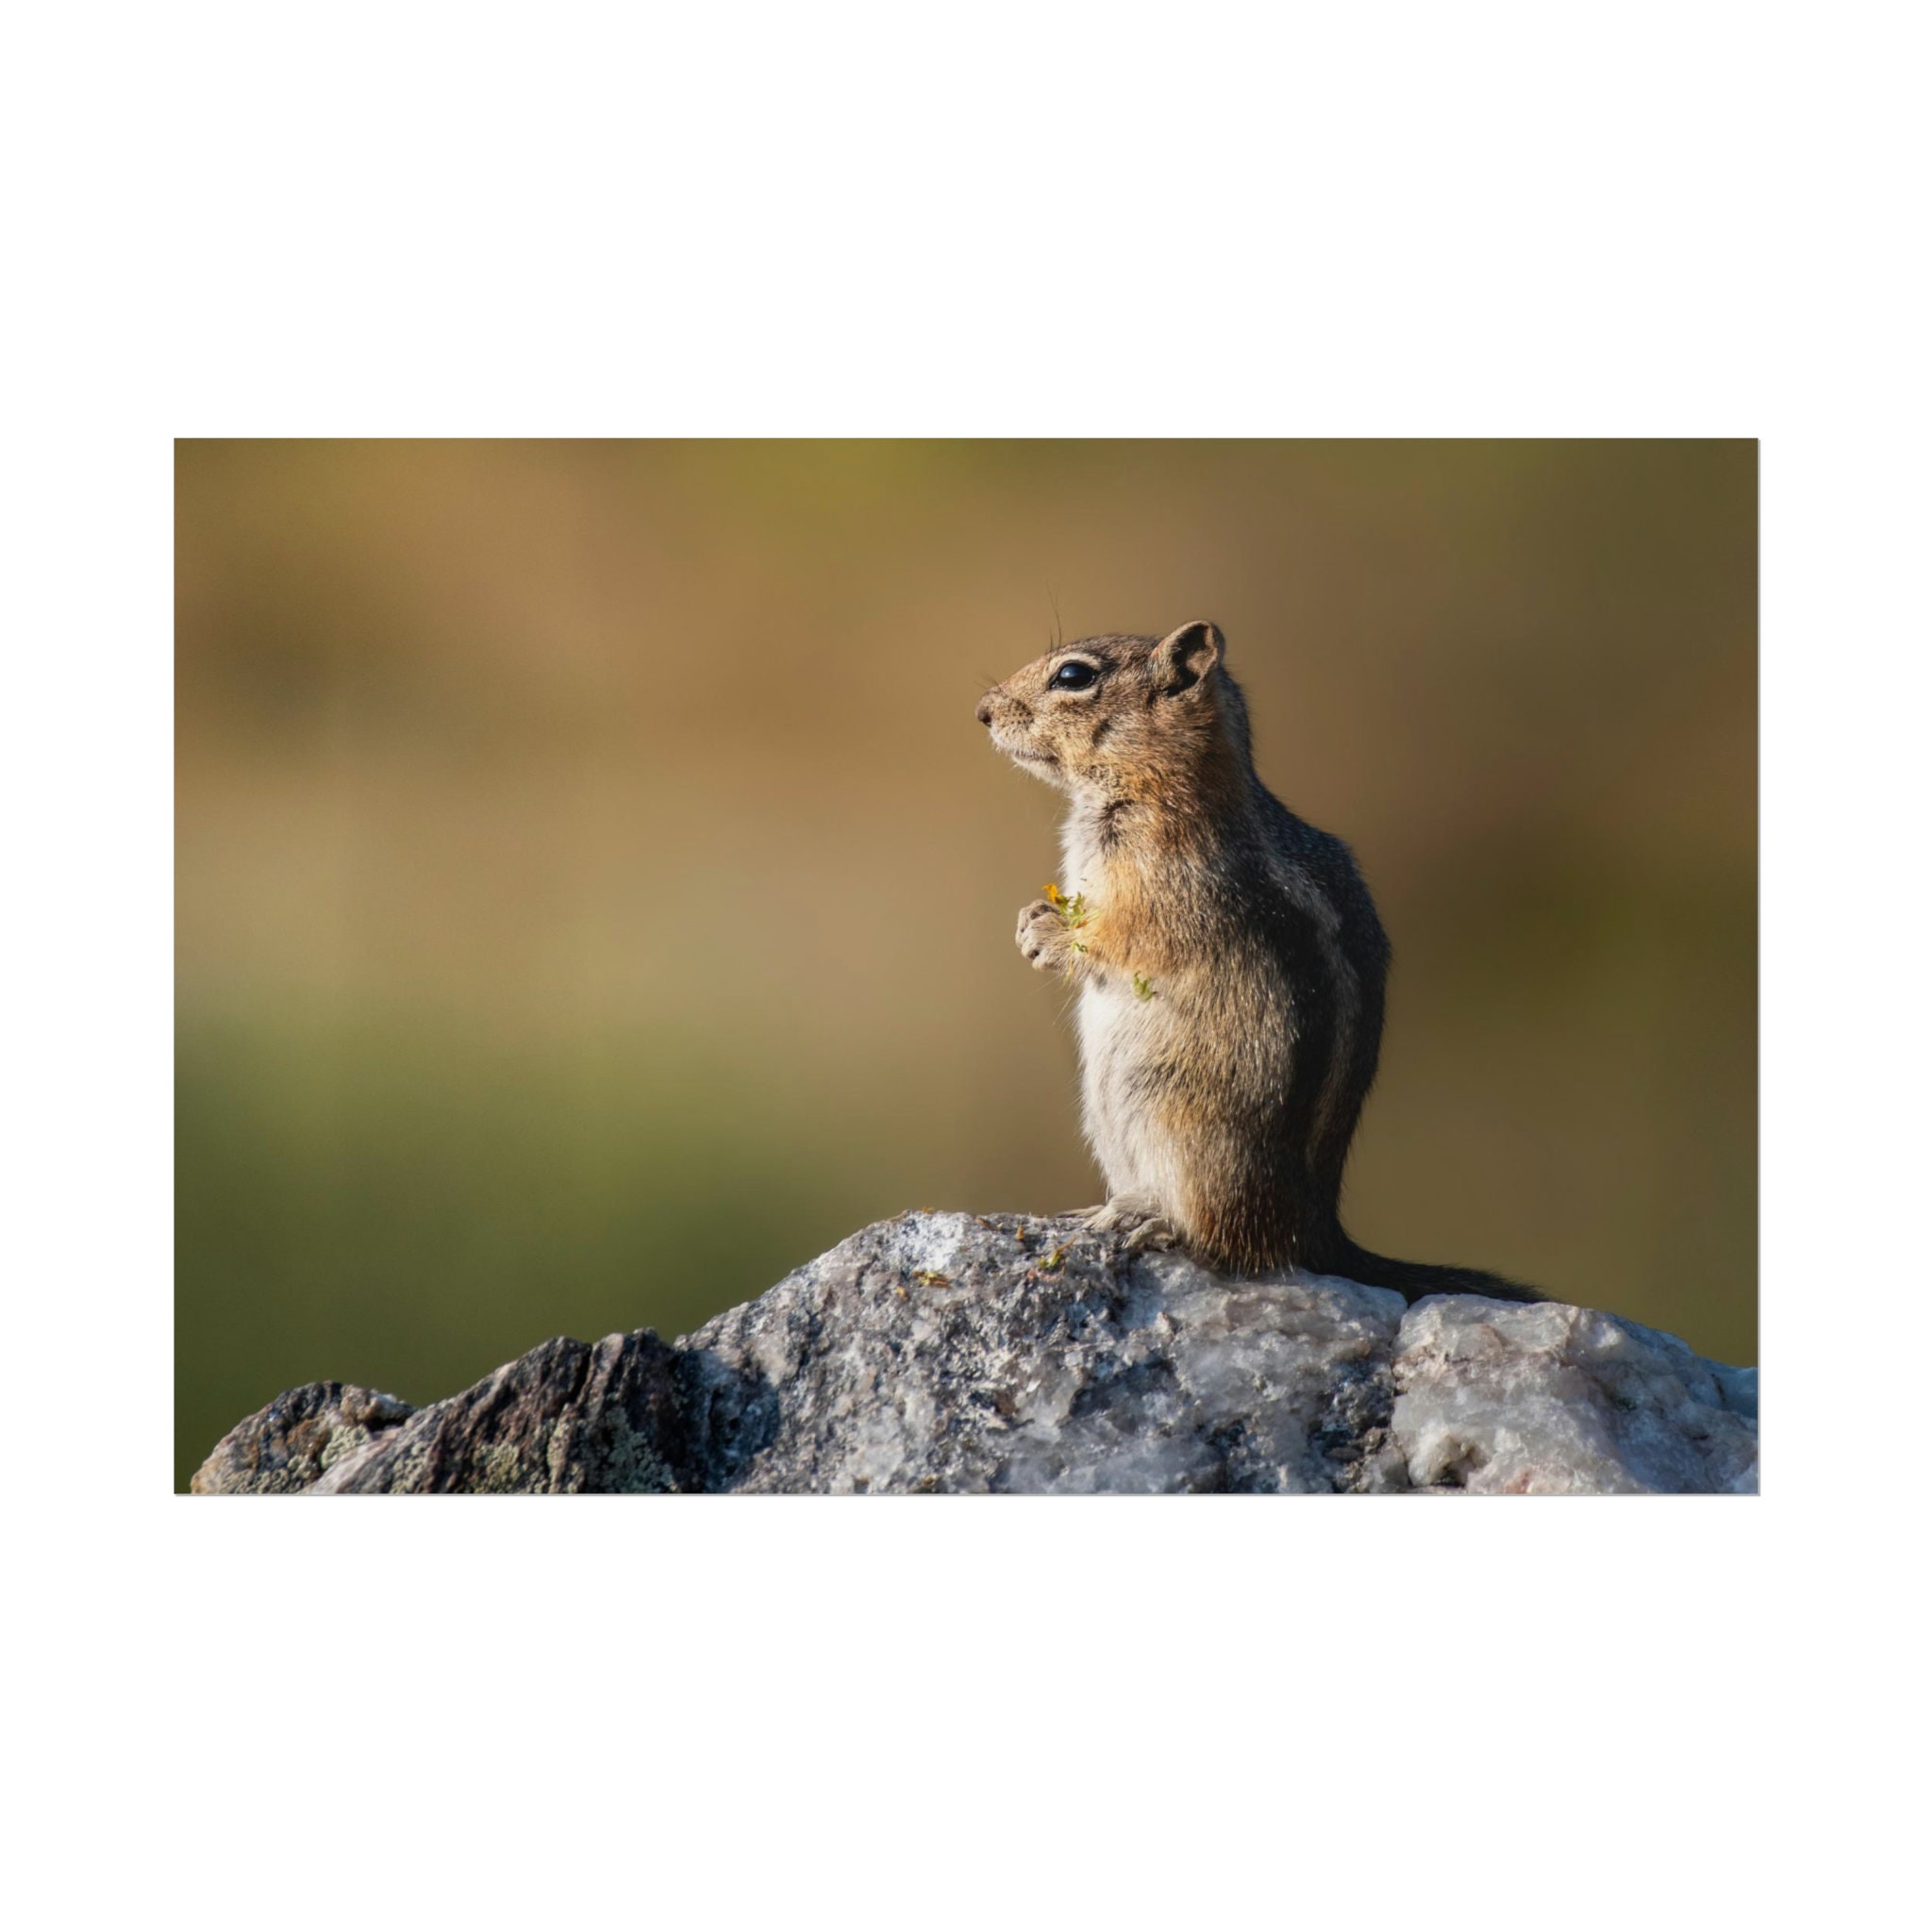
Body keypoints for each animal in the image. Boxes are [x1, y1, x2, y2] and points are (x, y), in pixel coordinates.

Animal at [975, 619, 1541, 1304]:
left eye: (1073, 676)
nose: (982, 712)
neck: (1161, 784)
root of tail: (1312, 1225)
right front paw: (1030, 917)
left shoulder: (1168, 892)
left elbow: (1120, 940)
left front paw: (1048, 936)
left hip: (1181, 1125)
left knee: (1229, 1241)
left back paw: (1151, 1223)